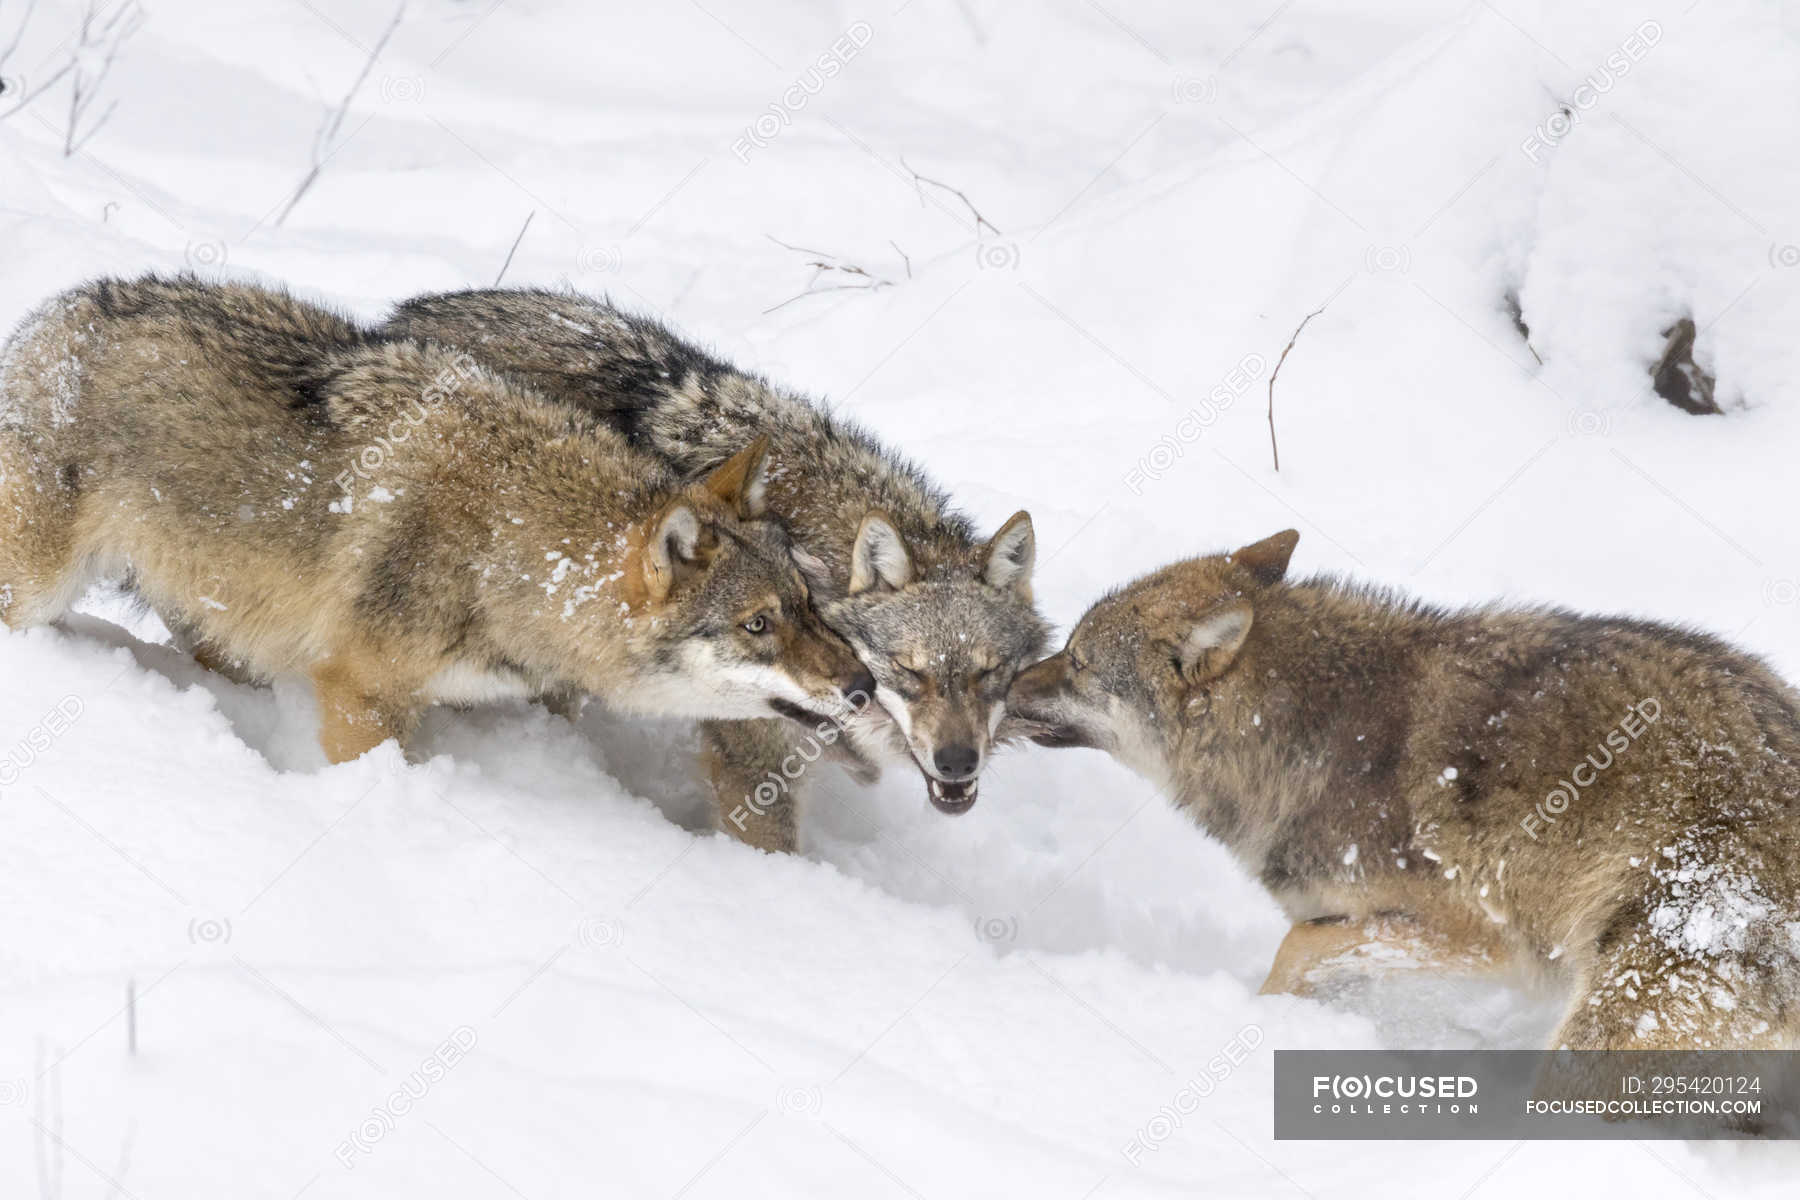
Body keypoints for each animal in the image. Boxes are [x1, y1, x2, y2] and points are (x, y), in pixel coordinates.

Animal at [0, 276, 870, 762]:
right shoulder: (361, 696)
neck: (508, 548)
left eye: (808, 606)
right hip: (37, 591)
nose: (863, 686)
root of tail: (51, 318)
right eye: (757, 625)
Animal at [1008, 529, 1800, 1050]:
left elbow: (1293, 947)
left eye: (1077, 662)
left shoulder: (1478, 937)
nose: (1004, 682)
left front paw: (1255, 1023)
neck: (1303, 732)